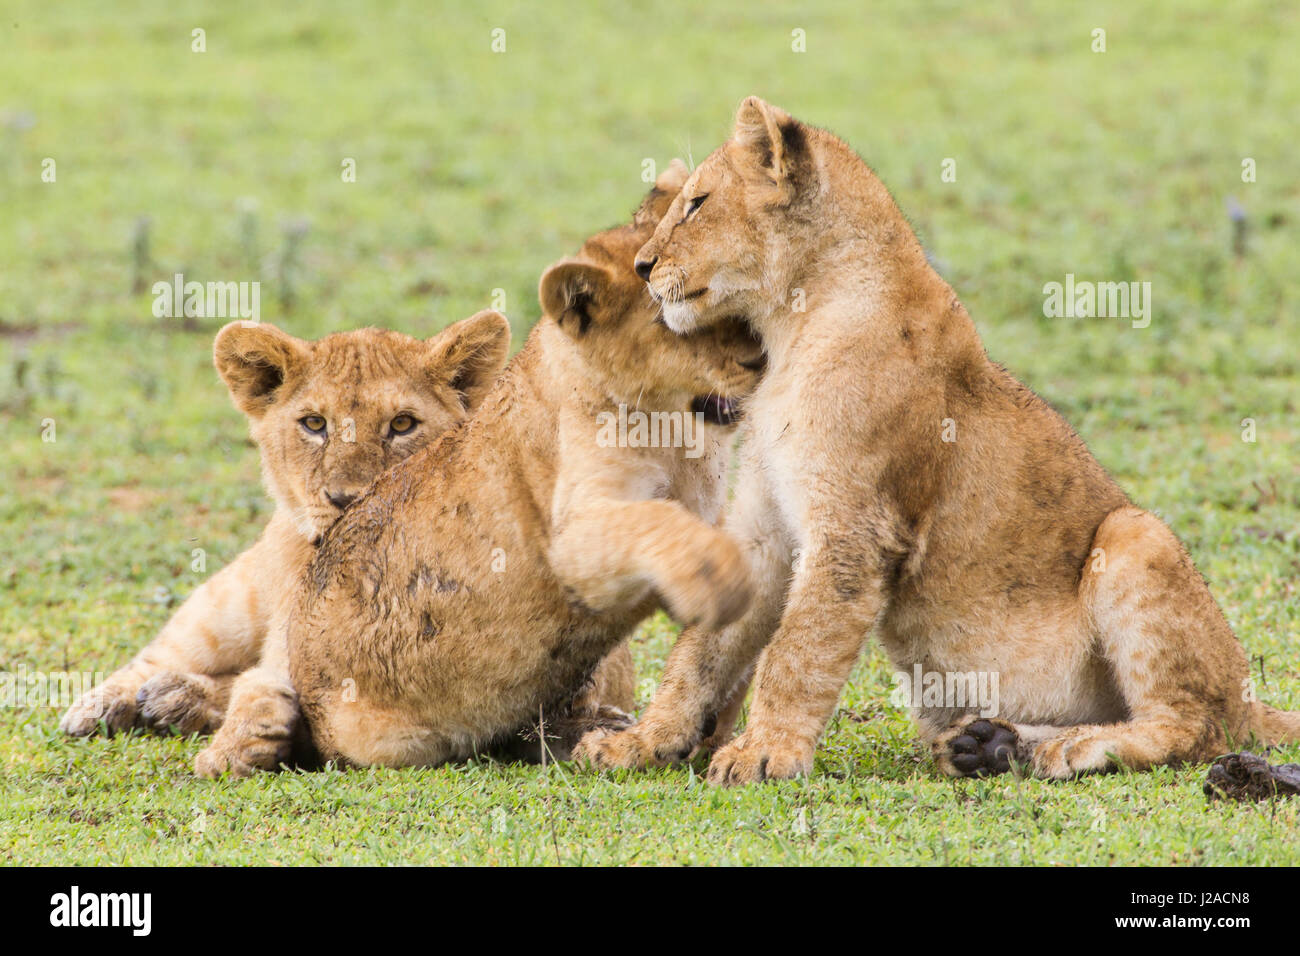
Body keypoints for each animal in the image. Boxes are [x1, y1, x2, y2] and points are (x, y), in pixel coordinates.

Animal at [60, 313, 634, 743]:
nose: (344, 500)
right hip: (226, 607)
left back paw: (172, 699)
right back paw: (99, 706)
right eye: (314, 424)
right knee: (163, 652)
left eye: (402, 424)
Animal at [194, 164, 764, 776]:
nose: (760, 358)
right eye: (672, 317)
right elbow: (663, 527)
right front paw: (725, 578)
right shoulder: (576, 542)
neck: (677, 437)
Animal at [575, 96, 1300, 784]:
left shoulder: (856, 527)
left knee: (1194, 726)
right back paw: (990, 745)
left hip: (1135, 535)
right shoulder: (764, 526)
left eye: (697, 204)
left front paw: (763, 754)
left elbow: (798, 649)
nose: (643, 266)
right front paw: (640, 742)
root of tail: (1251, 698)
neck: (791, 326)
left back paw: (1066, 749)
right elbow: (700, 652)